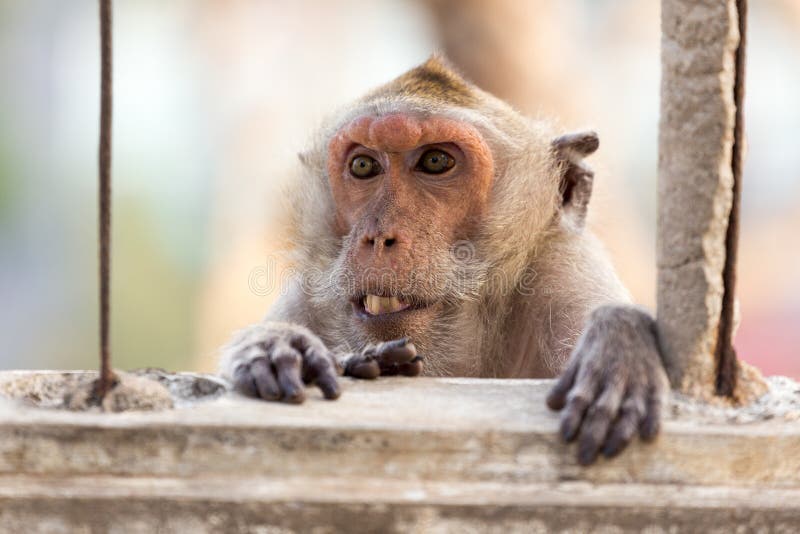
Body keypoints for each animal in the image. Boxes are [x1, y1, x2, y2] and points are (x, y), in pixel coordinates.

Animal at [220, 56, 669, 465]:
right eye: (363, 165)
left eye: (436, 161)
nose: (378, 237)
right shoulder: (305, 298)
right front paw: (276, 347)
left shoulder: (566, 272)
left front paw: (618, 343)